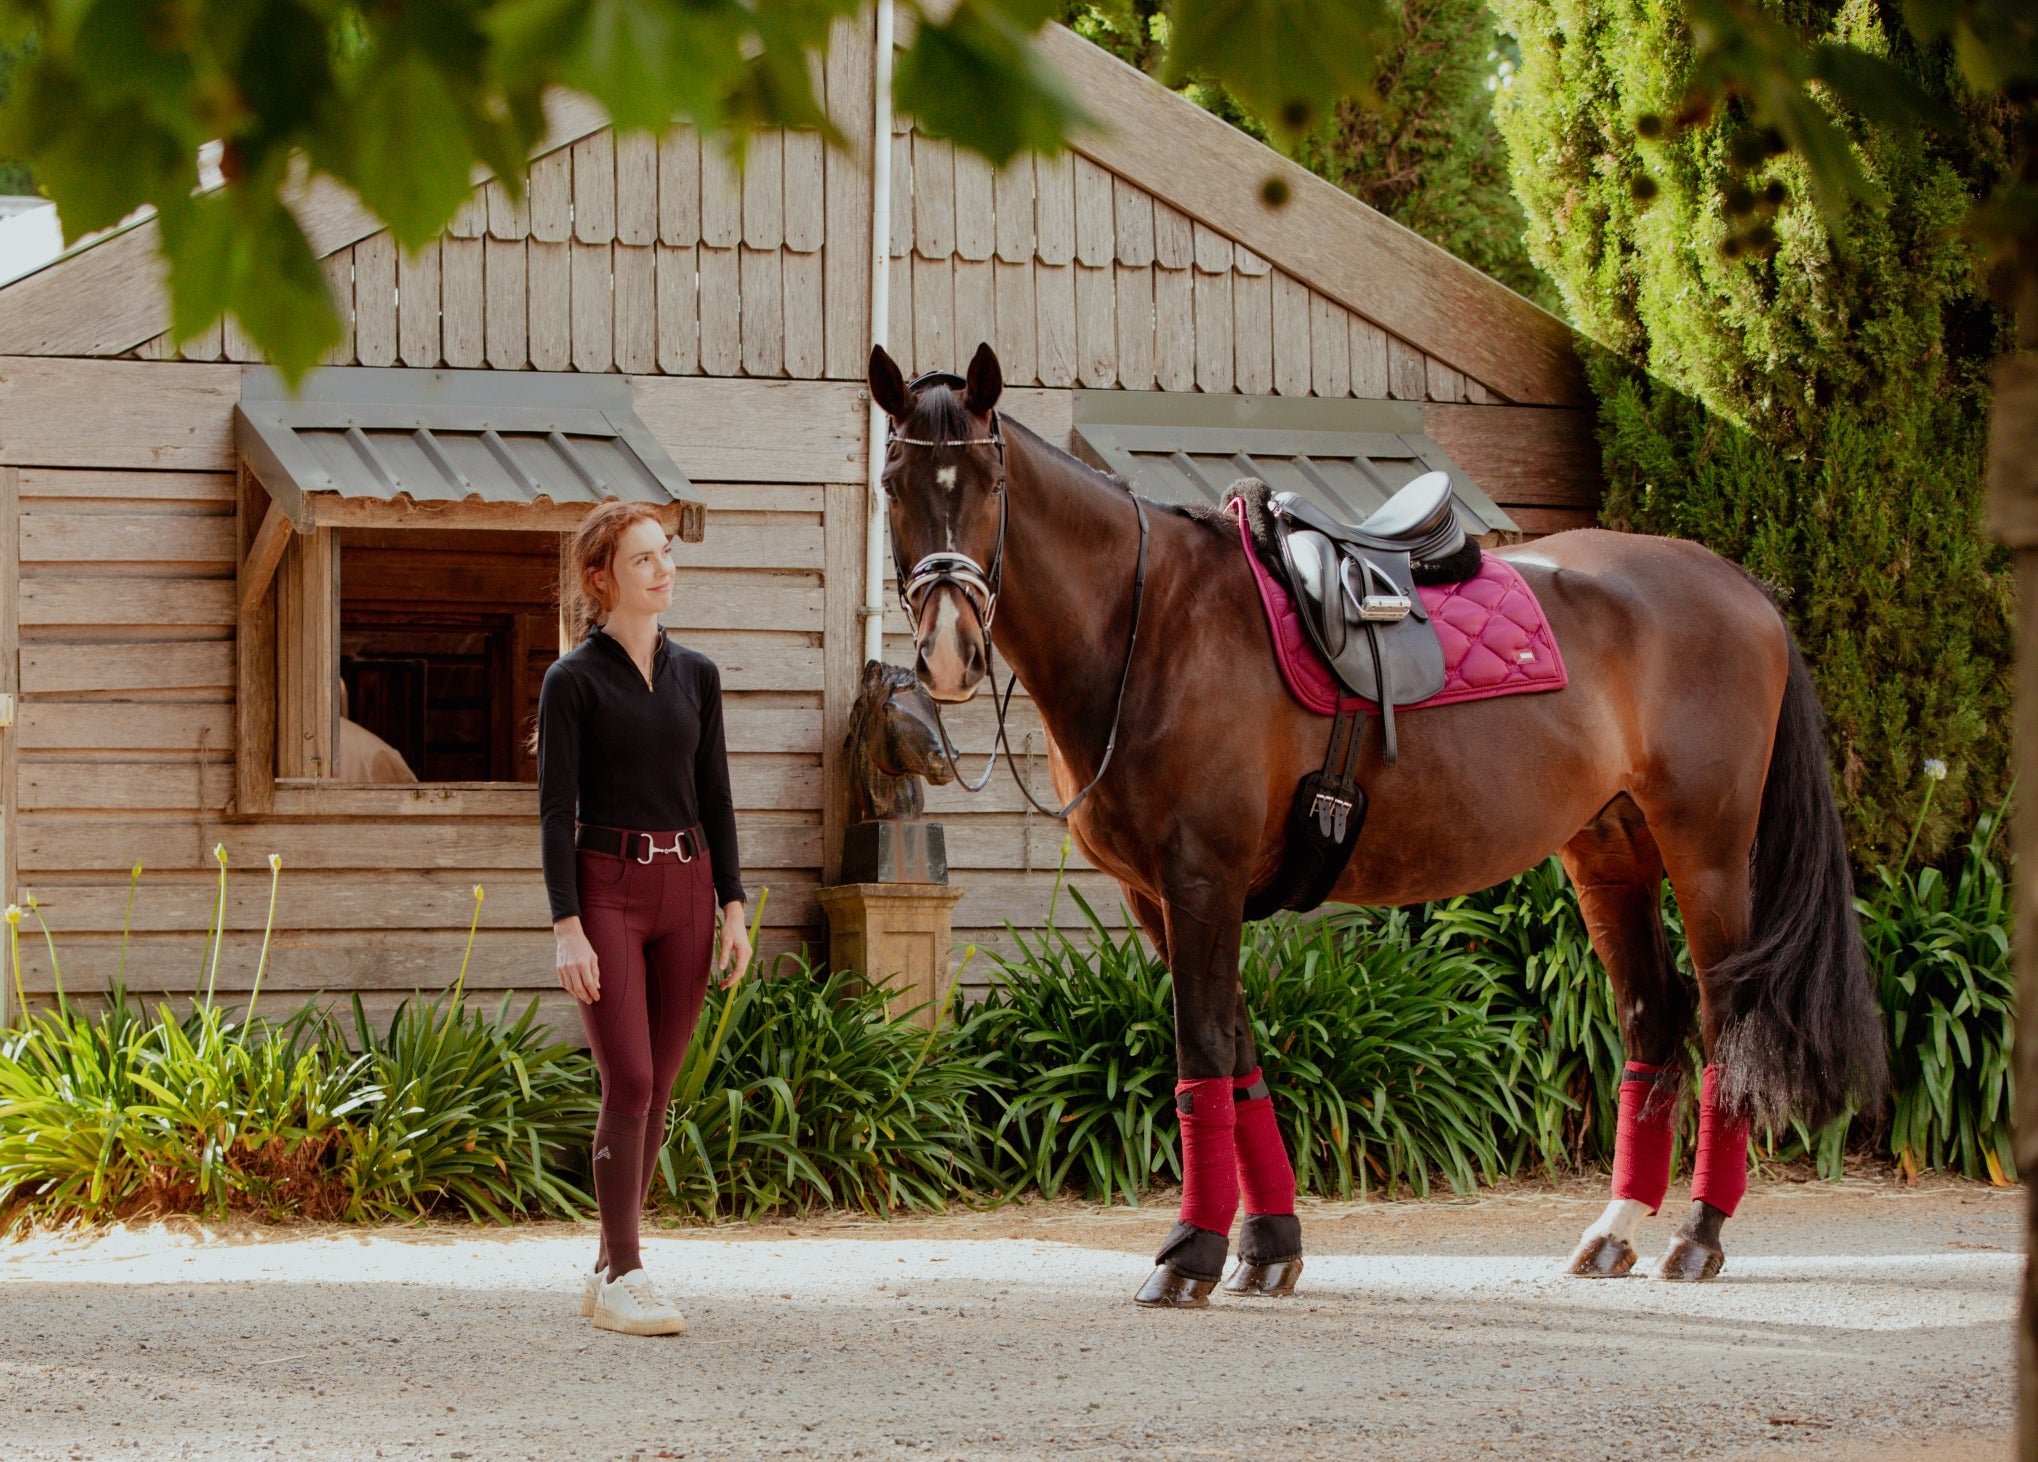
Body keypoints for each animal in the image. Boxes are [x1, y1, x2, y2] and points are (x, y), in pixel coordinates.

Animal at [870, 341, 1887, 1305]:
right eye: (894, 484)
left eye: (990, 483)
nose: (949, 652)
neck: (1152, 624)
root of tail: (1742, 589)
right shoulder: (1159, 898)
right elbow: (1239, 1062)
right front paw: (1267, 1248)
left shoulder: (1201, 880)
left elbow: (1202, 1058)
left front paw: (1190, 1251)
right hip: (1610, 855)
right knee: (1652, 1020)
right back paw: (1615, 1230)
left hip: (1707, 852)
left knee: (1726, 1020)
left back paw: (1700, 1235)